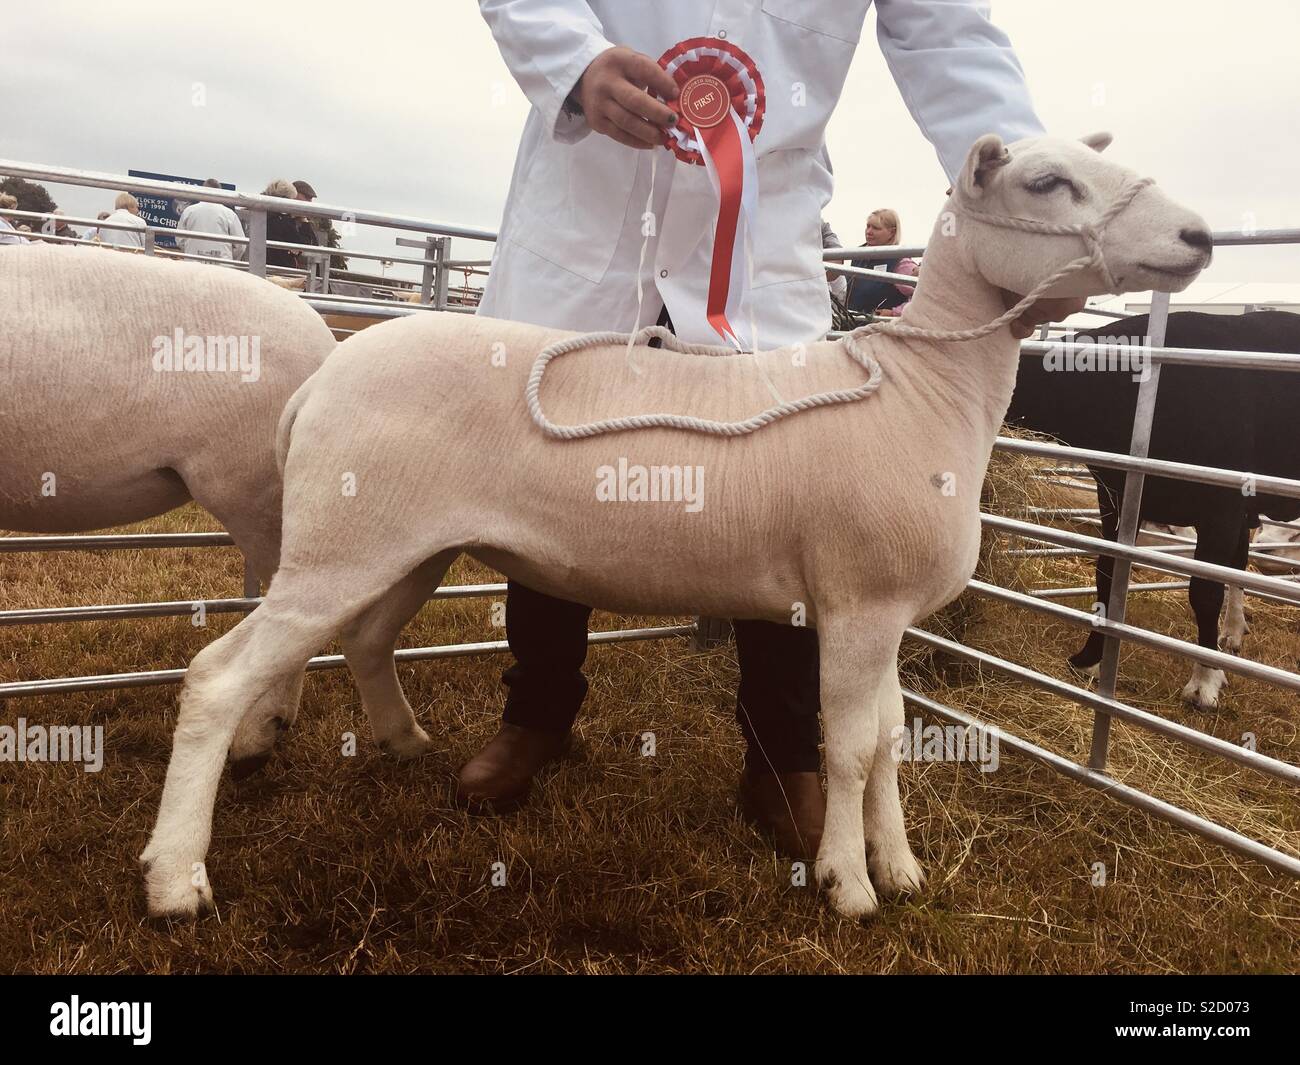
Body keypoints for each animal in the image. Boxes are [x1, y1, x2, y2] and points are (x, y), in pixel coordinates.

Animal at [140, 133, 1210, 919]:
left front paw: (900, 866)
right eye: (1048, 182)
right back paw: (176, 878)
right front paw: (848, 886)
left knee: (362, 640)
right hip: (346, 541)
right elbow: (849, 745)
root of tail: (321, 378)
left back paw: (403, 746)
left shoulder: (883, 608)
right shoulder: (859, 603)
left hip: (405, 546)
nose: (1200, 234)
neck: (922, 392)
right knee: (219, 675)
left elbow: (891, 741)